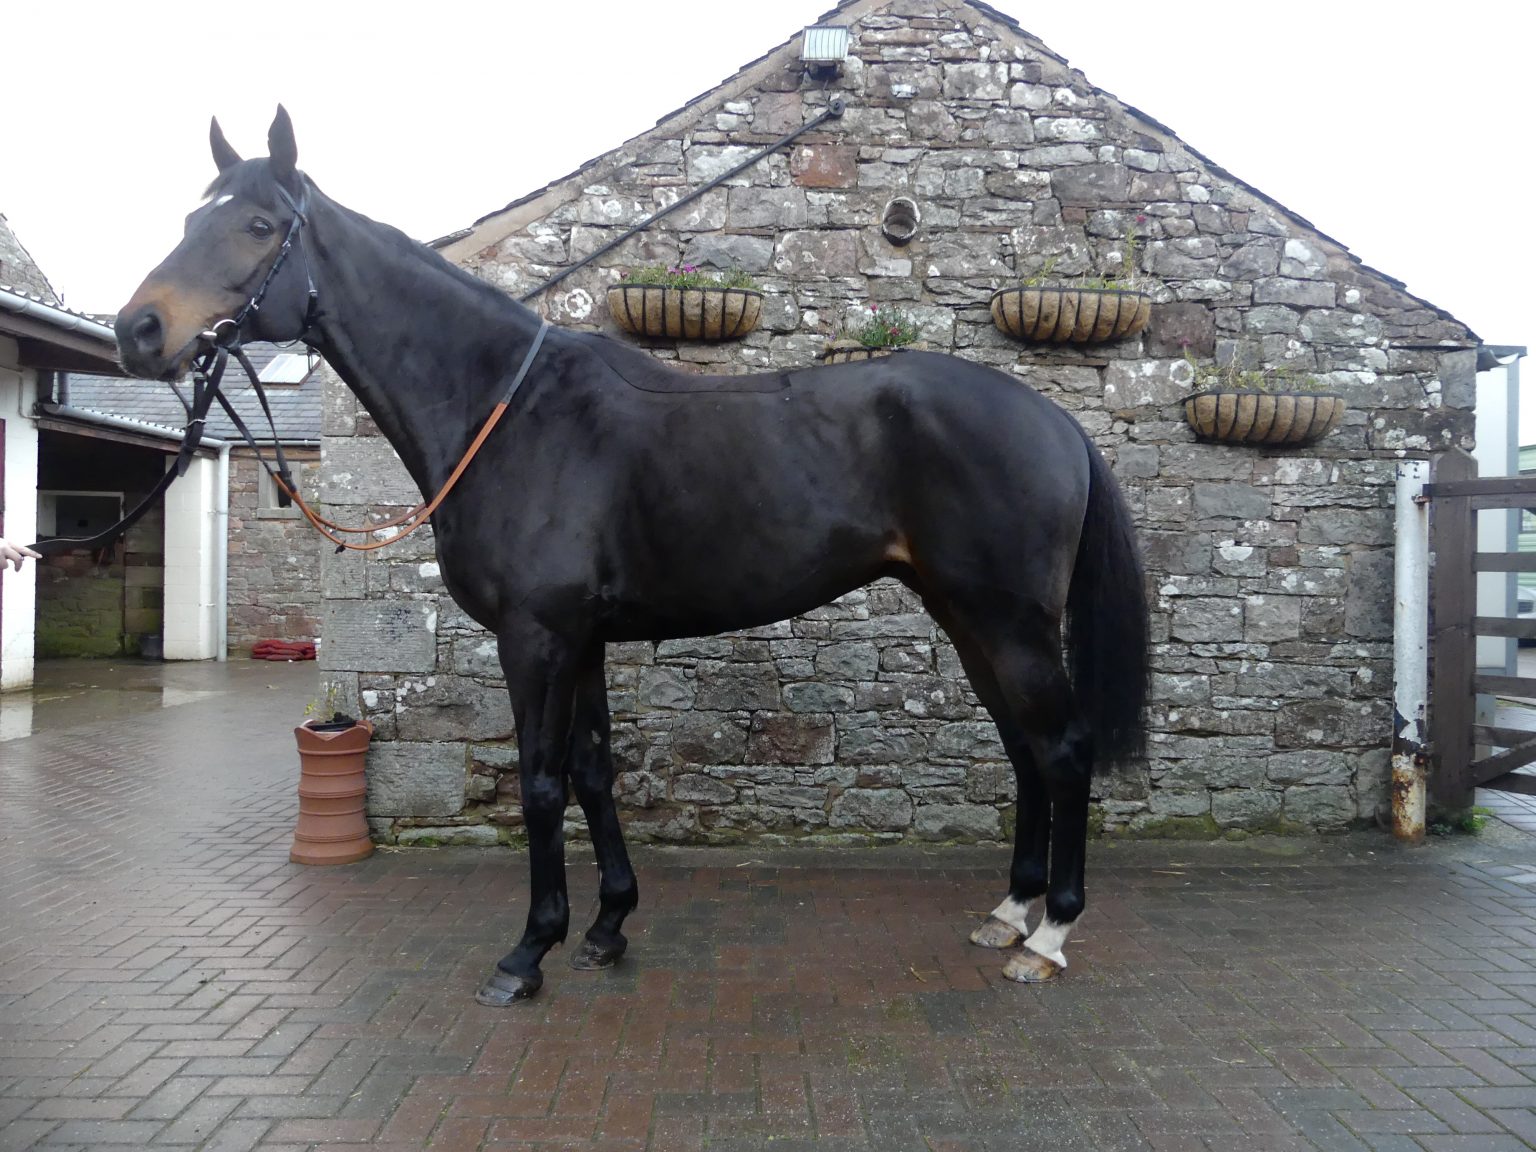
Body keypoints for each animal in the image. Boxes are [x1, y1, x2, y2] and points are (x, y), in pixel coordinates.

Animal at [116, 107, 1149, 1005]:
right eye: (190, 217)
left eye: (257, 224)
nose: (138, 331)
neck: (511, 411)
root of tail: (1056, 421)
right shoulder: (584, 639)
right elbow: (593, 772)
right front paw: (608, 926)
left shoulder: (535, 638)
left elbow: (540, 784)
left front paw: (529, 951)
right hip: (965, 616)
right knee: (1023, 748)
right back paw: (1009, 912)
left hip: (1007, 622)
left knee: (1061, 748)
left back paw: (1049, 936)